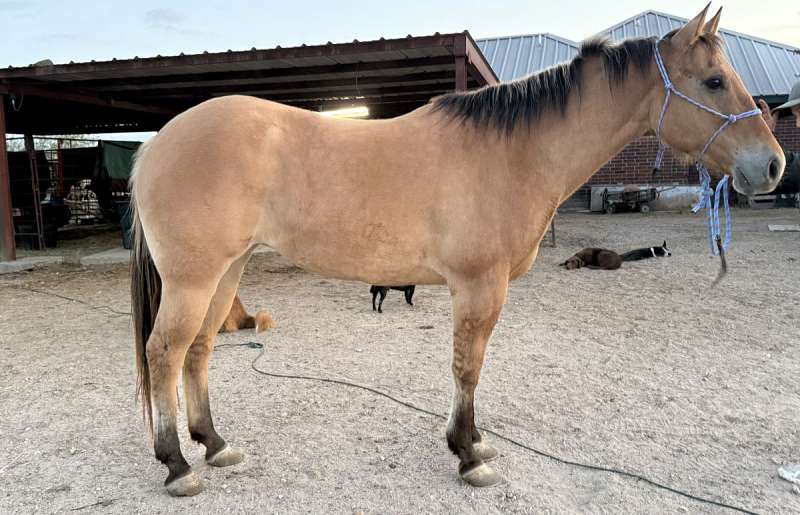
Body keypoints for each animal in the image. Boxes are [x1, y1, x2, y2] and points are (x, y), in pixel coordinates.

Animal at [130, 6, 784, 496]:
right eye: (714, 81)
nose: (773, 165)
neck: (512, 153)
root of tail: (156, 143)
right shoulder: (478, 285)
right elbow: (467, 366)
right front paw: (469, 455)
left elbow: (470, 367)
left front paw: (472, 441)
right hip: (194, 278)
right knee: (165, 353)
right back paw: (178, 466)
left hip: (226, 273)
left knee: (198, 351)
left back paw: (215, 445)